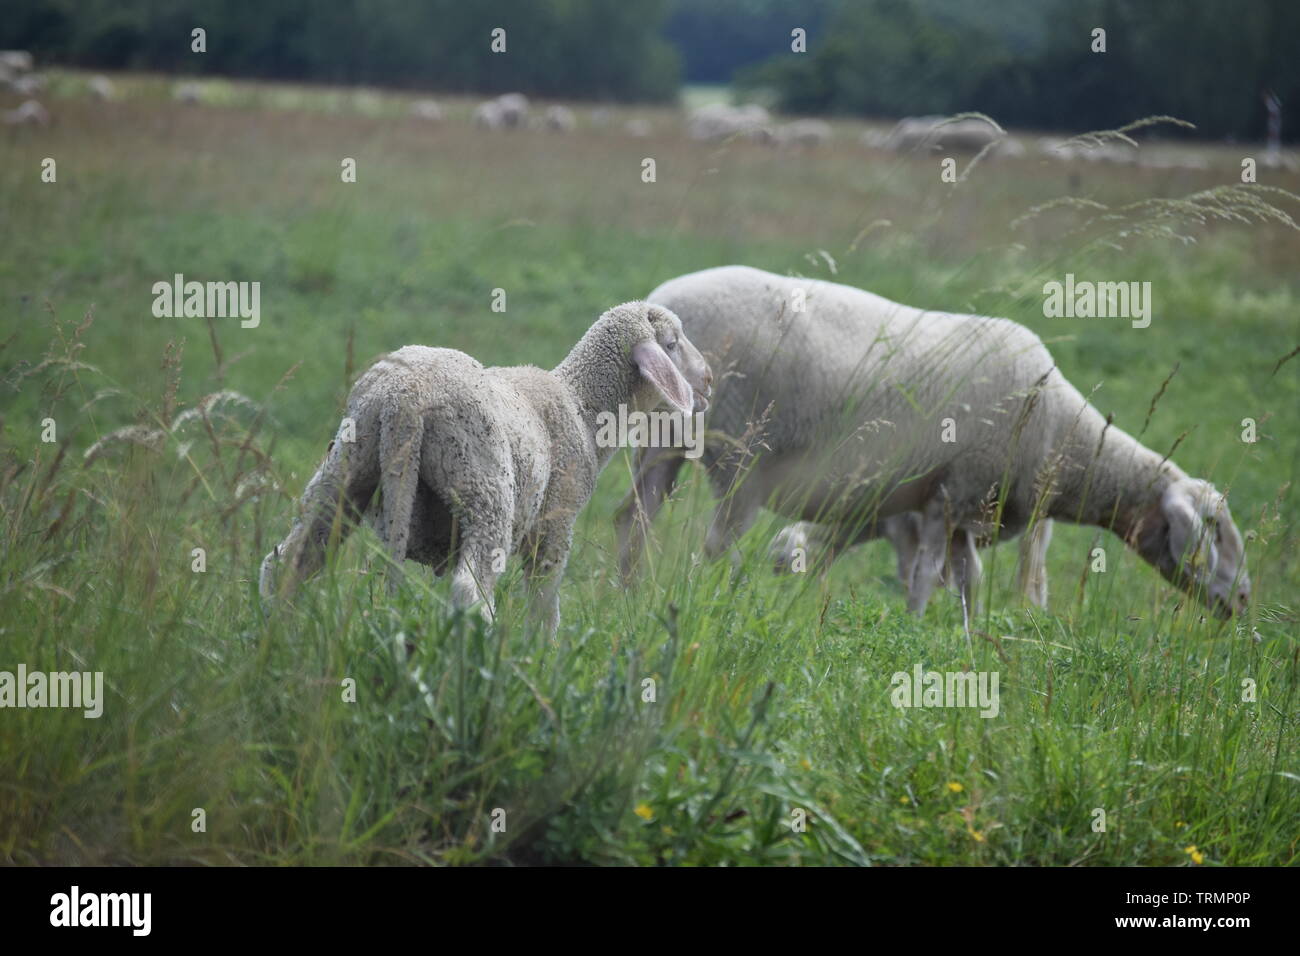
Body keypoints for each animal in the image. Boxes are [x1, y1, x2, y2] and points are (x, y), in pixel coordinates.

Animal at [260, 302, 713, 635]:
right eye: (672, 343)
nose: (708, 378)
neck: (582, 405)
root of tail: (404, 399)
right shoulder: (555, 523)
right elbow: (545, 605)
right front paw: (542, 655)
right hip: (483, 486)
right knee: (470, 593)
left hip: (345, 467)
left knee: (291, 559)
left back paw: (276, 637)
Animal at [615, 266, 1251, 620]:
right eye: (1214, 534)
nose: (1243, 605)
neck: (1060, 435)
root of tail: (658, 301)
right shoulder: (949, 495)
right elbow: (926, 577)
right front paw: (916, 628)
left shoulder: (963, 509)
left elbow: (967, 583)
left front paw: (966, 641)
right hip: (740, 455)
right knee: (717, 541)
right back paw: (716, 599)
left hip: (660, 444)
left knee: (634, 518)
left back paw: (626, 596)